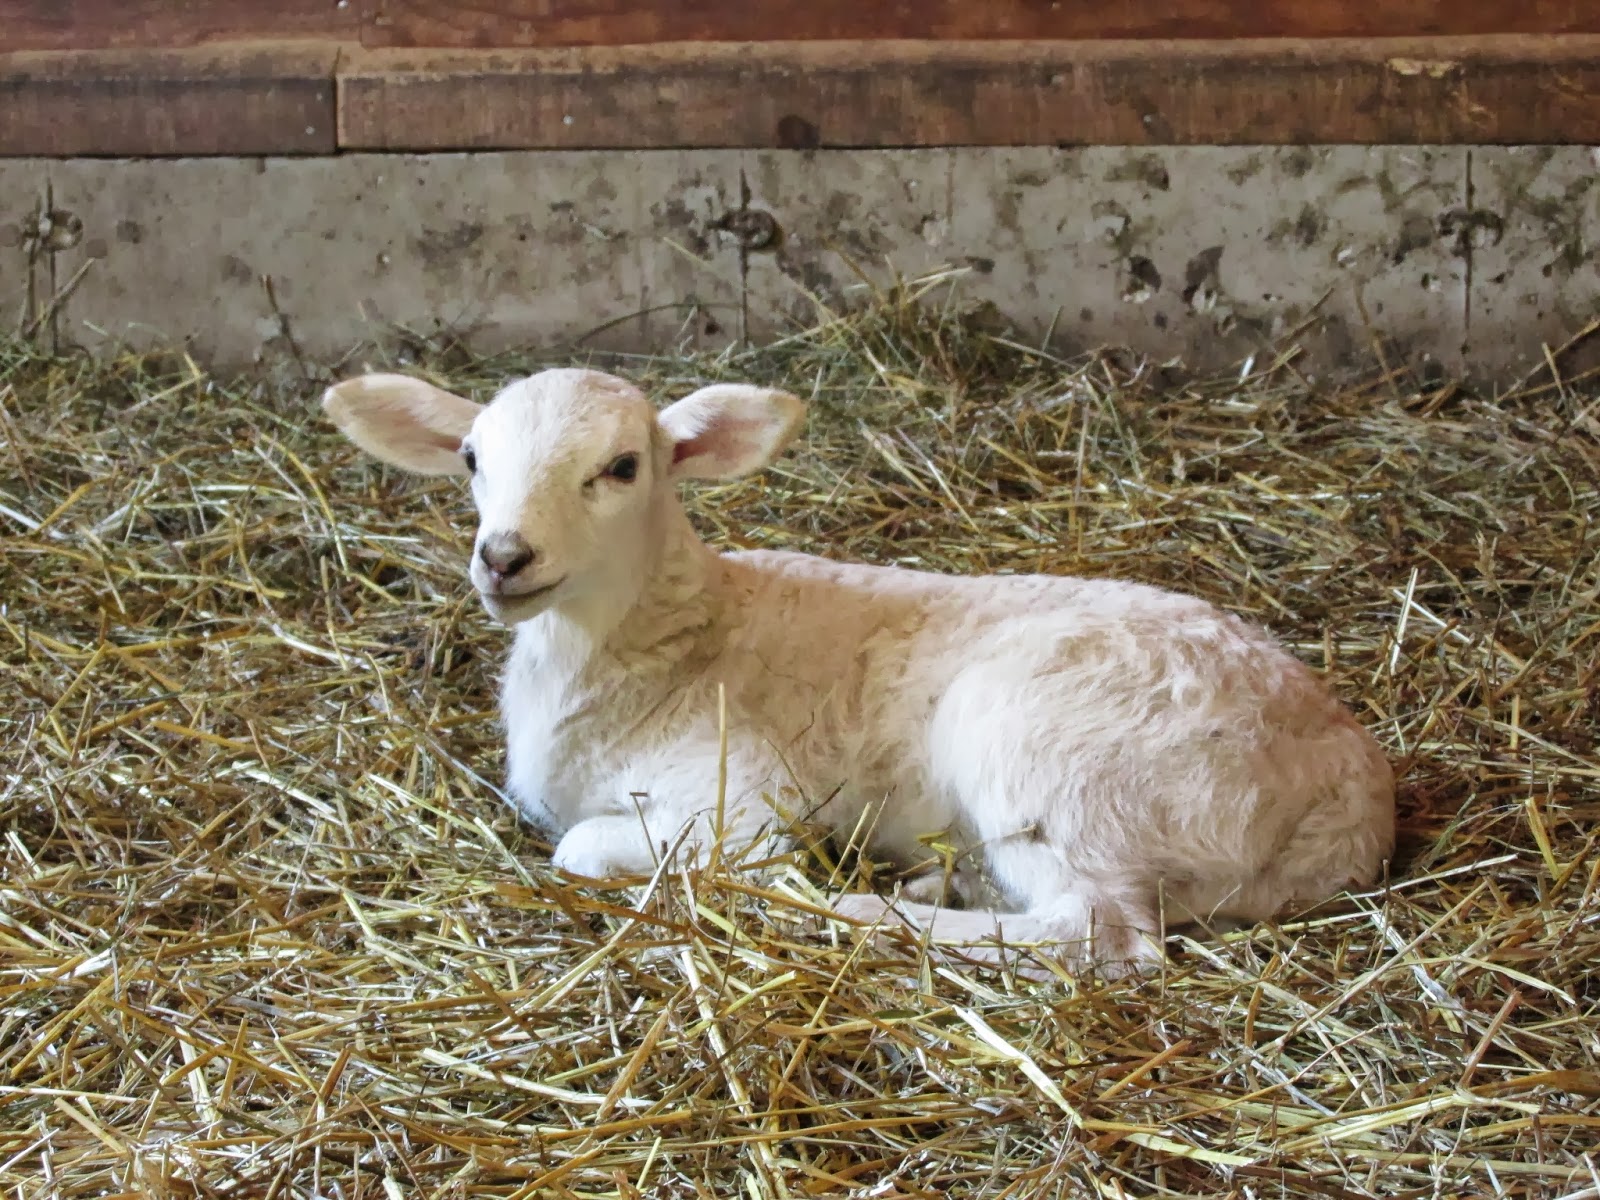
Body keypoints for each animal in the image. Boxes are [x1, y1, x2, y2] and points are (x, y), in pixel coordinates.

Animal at [322, 366, 1396, 972]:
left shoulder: (740, 796)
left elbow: (584, 849)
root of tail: (1350, 792)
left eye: (622, 467)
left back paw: (863, 905)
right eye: (470, 458)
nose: (504, 558)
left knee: (1097, 933)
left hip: (1053, 755)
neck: (674, 640)